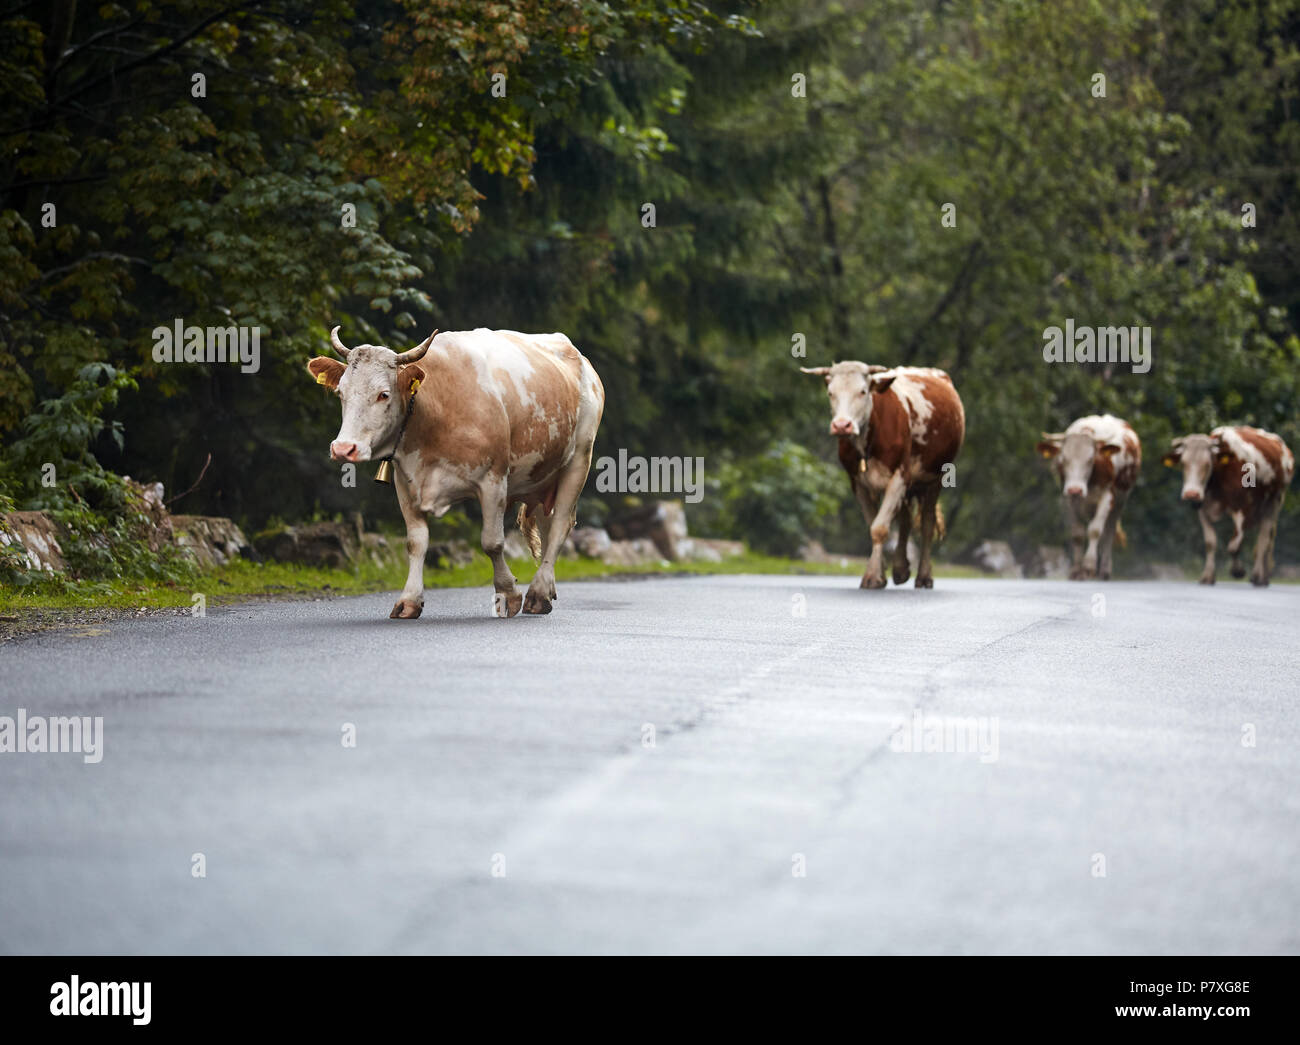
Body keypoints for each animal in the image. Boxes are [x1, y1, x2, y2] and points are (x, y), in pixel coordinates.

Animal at [307, 326, 605, 618]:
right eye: (340, 393)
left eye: (383, 394)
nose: (344, 448)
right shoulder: (406, 483)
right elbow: (415, 542)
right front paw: (409, 600)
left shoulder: (494, 480)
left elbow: (492, 542)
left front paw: (508, 594)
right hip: (543, 475)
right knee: (547, 524)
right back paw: (545, 590)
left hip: (579, 459)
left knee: (560, 525)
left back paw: (538, 593)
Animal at [800, 363, 965, 589]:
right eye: (830, 392)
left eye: (863, 391)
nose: (842, 425)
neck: (867, 442)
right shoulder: (857, 482)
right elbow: (874, 524)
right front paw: (878, 572)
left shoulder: (900, 476)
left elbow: (879, 528)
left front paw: (872, 576)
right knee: (905, 519)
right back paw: (900, 568)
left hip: (935, 478)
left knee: (927, 524)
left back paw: (923, 576)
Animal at [1036, 414, 1141, 581]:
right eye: (1063, 459)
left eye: (1091, 459)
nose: (1075, 489)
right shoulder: (1067, 500)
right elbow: (1077, 534)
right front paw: (1076, 571)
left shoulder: (1107, 498)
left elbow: (1094, 530)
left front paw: (1088, 567)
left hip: (1120, 503)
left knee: (1108, 533)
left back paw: (1104, 570)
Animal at [1162, 425, 1294, 586]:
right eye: (1183, 463)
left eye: (1207, 464)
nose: (1191, 494)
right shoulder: (1203, 510)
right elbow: (1210, 542)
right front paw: (1207, 577)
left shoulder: (1242, 508)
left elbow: (1234, 545)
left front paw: (1238, 571)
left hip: (1274, 503)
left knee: (1264, 539)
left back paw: (1258, 577)